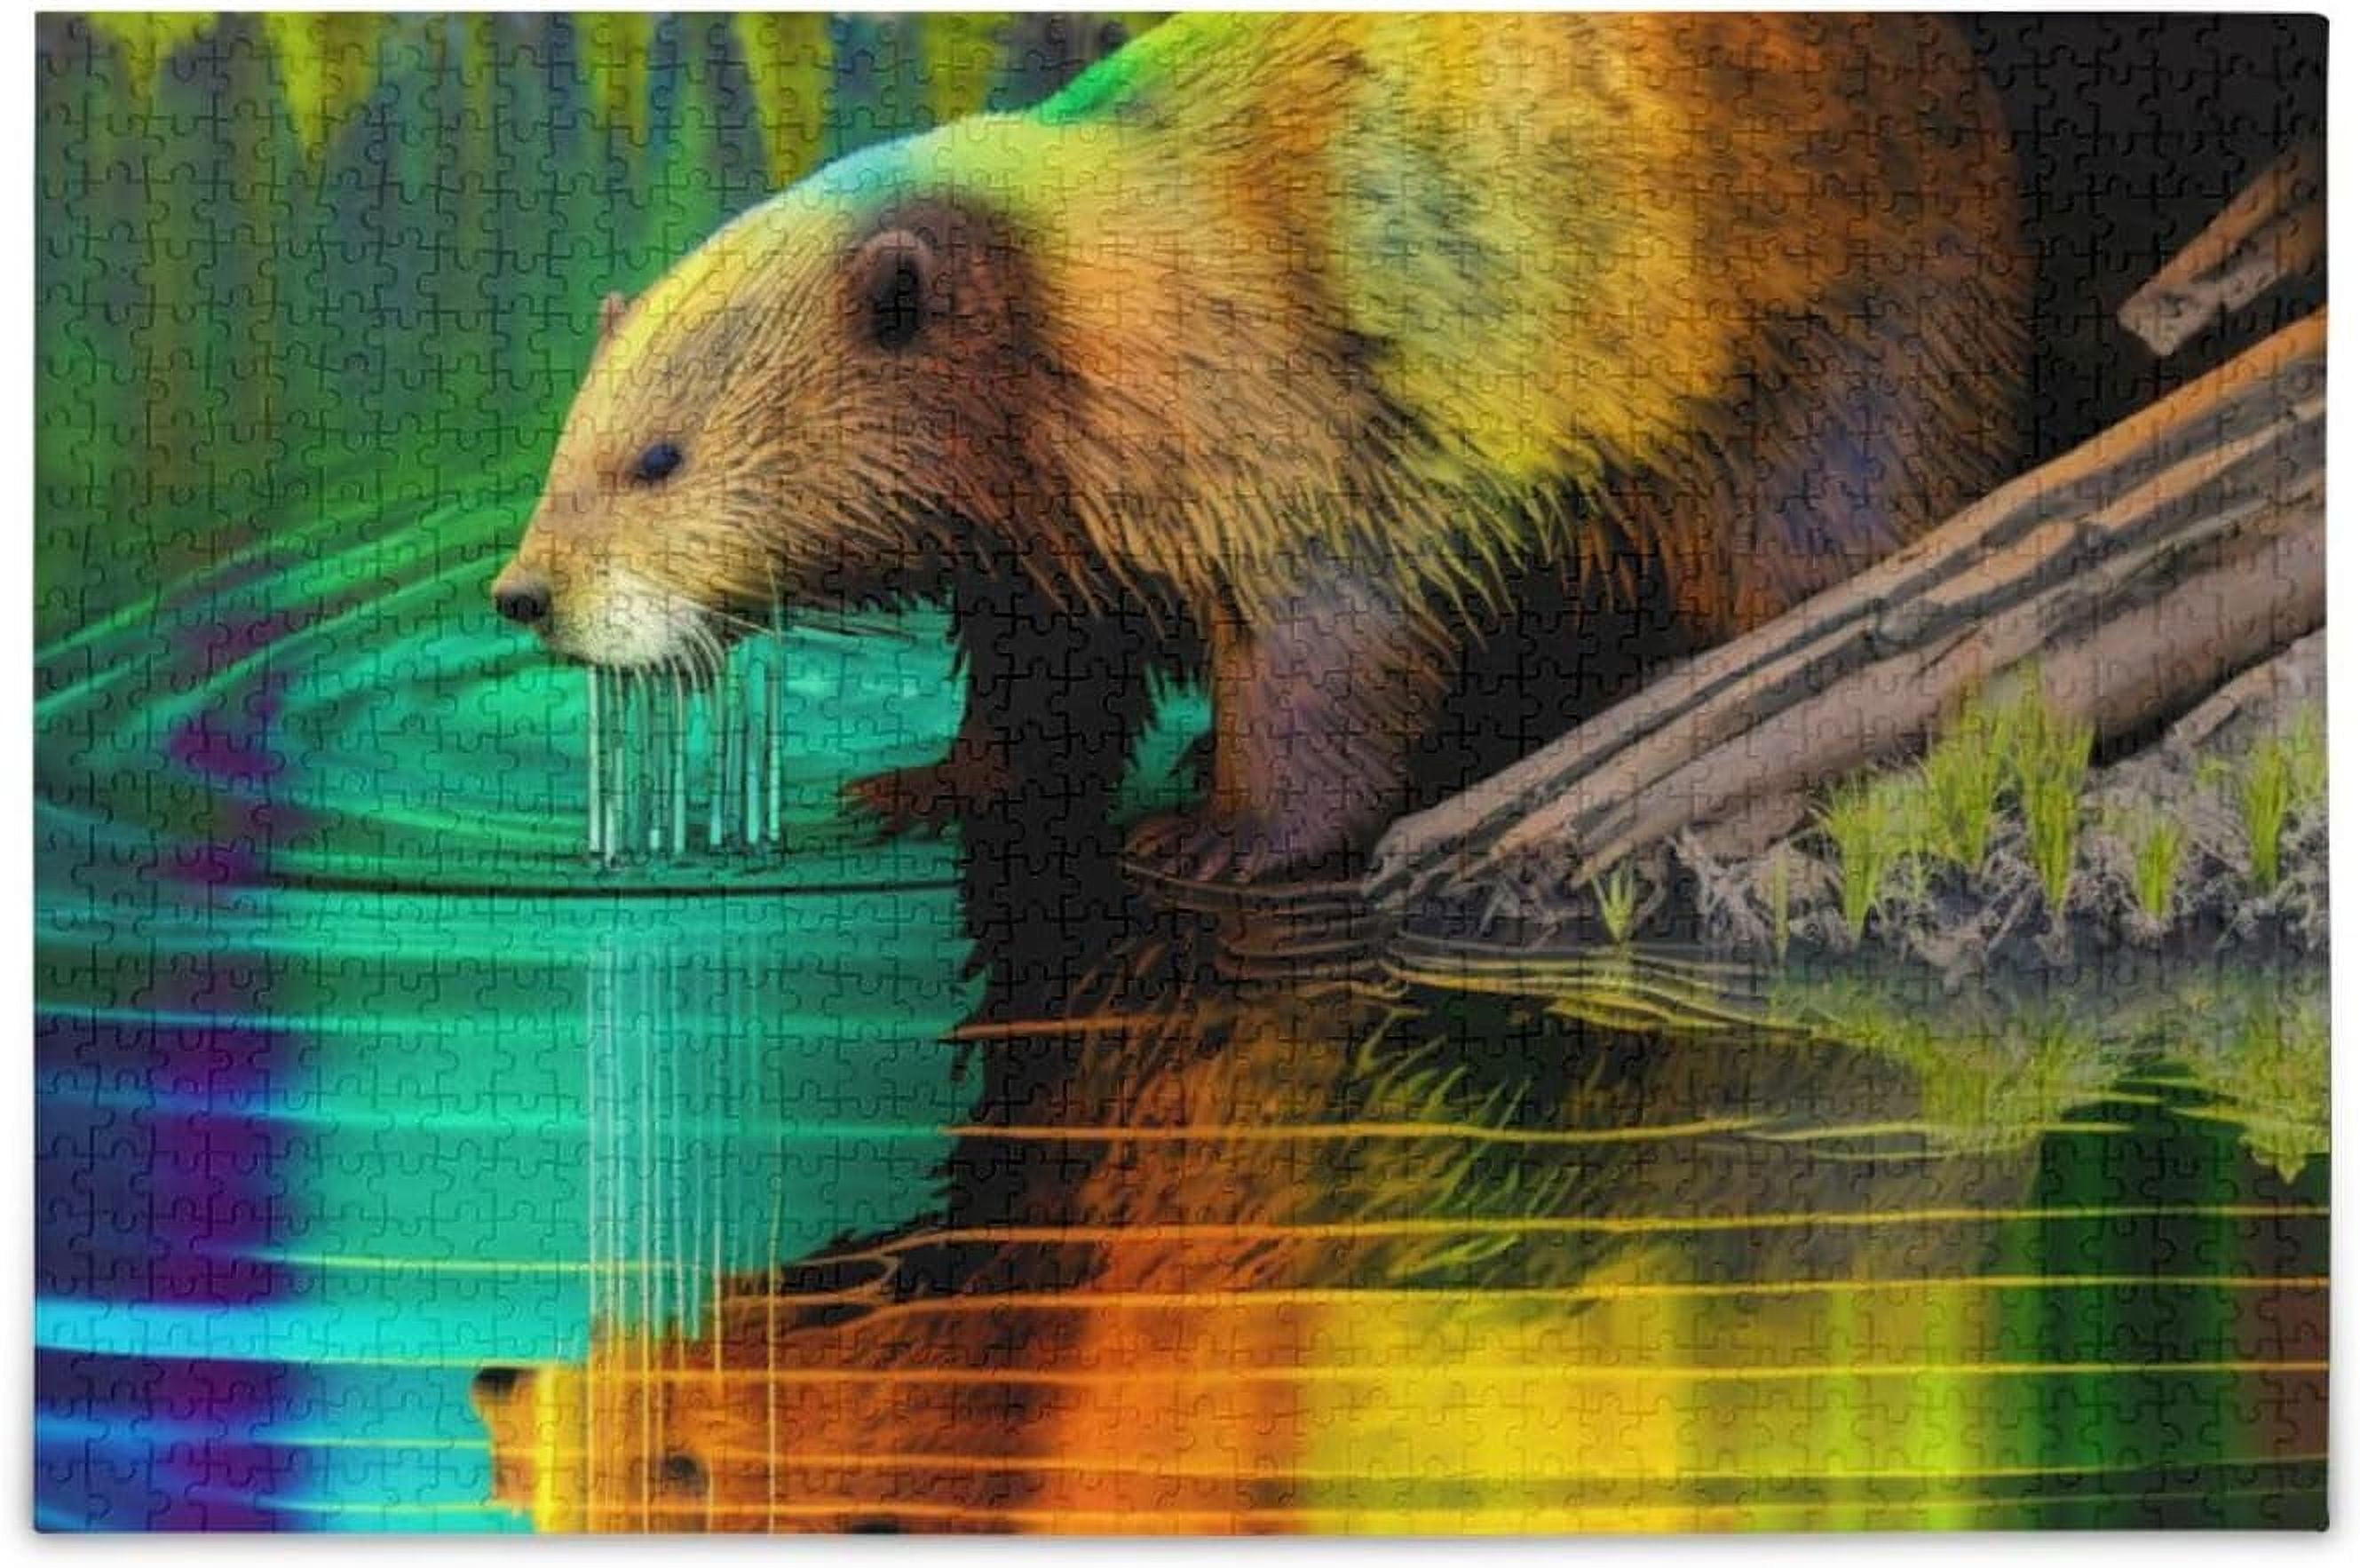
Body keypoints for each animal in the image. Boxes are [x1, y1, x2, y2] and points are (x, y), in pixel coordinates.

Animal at [490, 12, 2026, 881]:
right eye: (574, 436)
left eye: (659, 458)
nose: (524, 594)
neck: (1101, 286)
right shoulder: (1050, 546)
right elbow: (1040, 690)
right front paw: (921, 783)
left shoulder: (1309, 440)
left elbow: (1333, 655)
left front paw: (1219, 837)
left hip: (1856, 359)